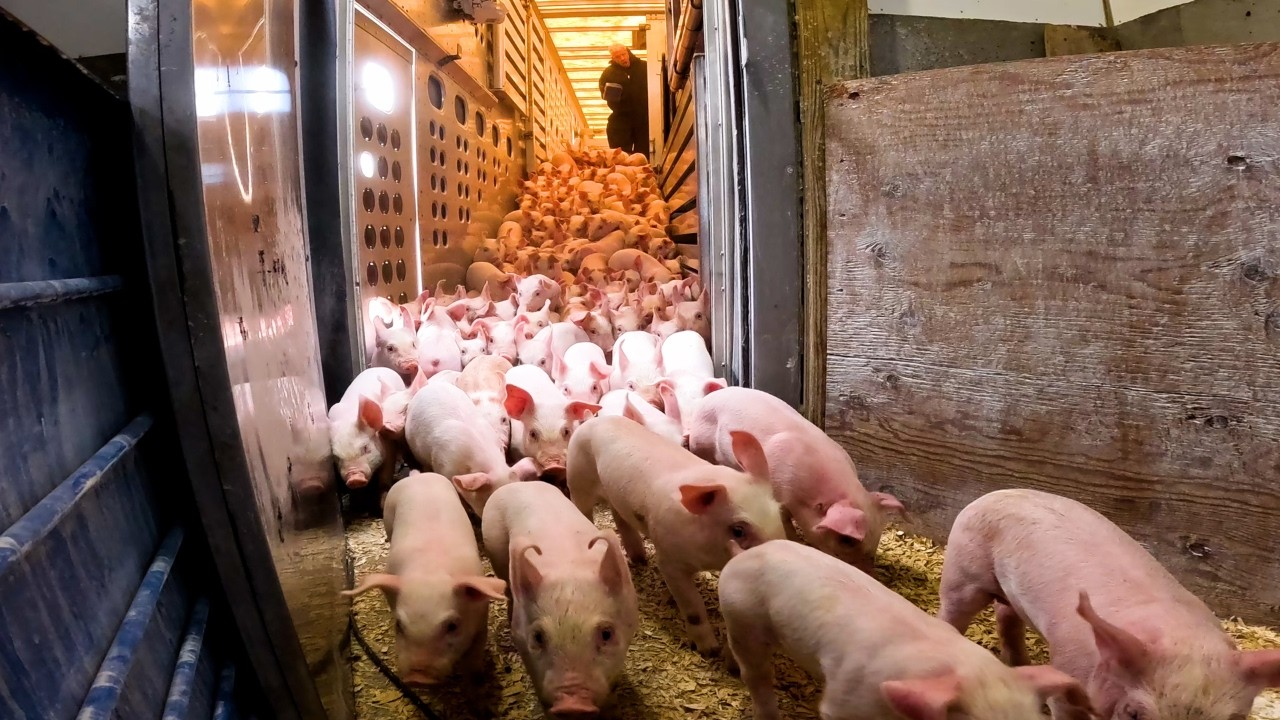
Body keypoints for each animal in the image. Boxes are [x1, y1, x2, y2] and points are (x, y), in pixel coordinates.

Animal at [341, 472, 506, 686]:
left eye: (452, 626)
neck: (430, 573)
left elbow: (475, 652)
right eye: (399, 625)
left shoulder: (481, 617)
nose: (418, 677)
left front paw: (476, 681)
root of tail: (418, 475)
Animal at [566, 416, 784, 656]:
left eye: (779, 513)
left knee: (620, 517)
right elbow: (693, 605)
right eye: (738, 530)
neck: (707, 556)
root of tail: (591, 420)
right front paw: (709, 651)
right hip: (577, 480)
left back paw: (639, 559)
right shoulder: (669, 560)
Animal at [687, 386, 902, 571]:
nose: (868, 574)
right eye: (846, 540)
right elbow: (785, 522)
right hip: (700, 444)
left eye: (876, 542)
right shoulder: (778, 496)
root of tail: (708, 397)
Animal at [938, 488, 1280, 720]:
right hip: (963, 571)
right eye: (1135, 714)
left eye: (1235, 719)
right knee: (952, 613)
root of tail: (992, 494)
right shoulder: (1069, 665)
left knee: (1006, 615)